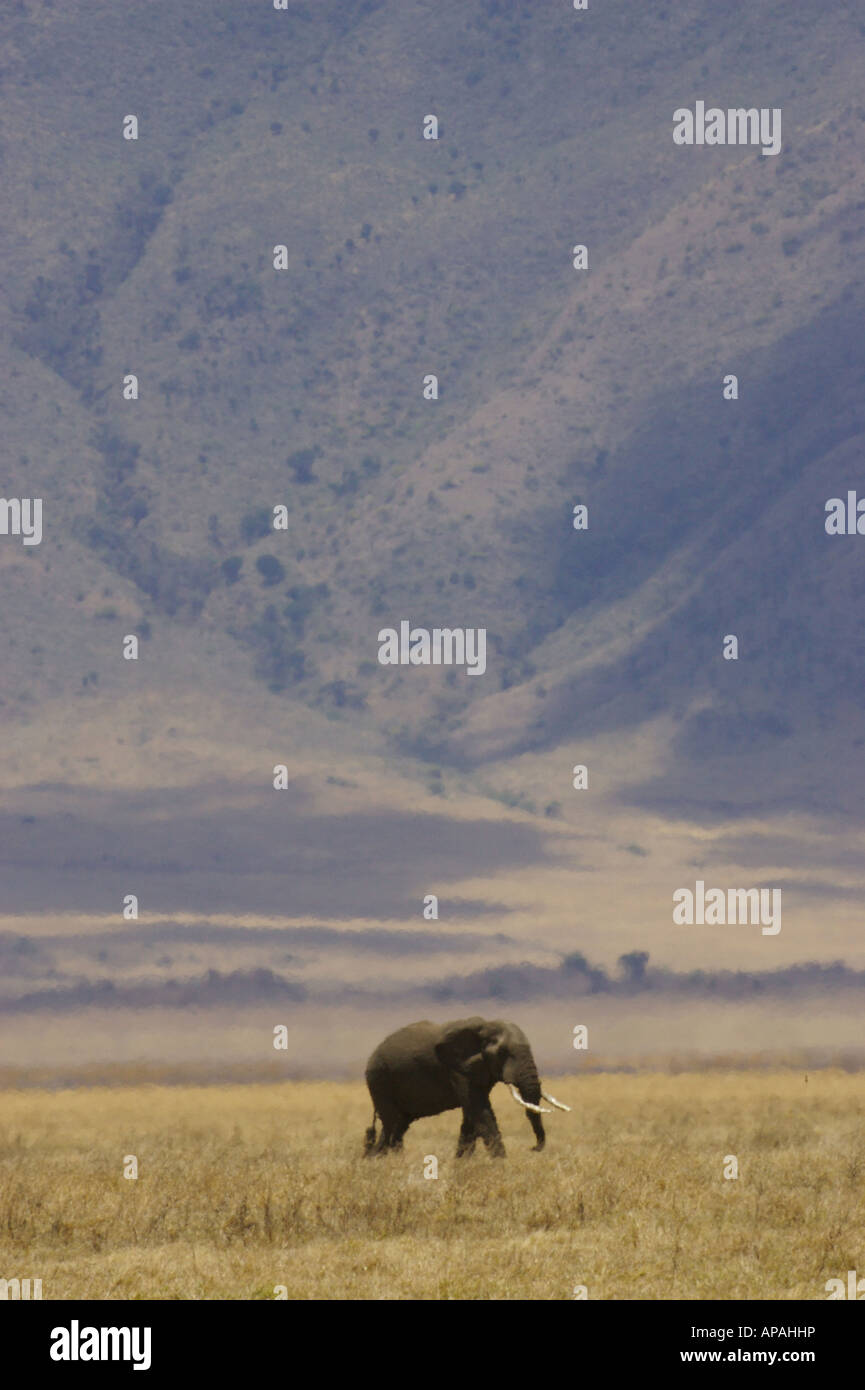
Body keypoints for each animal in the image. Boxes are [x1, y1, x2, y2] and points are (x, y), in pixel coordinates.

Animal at [363, 1016, 569, 1158]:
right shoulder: (458, 1069)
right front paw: (502, 1165)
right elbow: (479, 1110)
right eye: (503, 1053)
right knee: (390, 1122)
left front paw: (461, 1163)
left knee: (399, 1124)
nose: (533, 1148)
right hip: (379, 1078)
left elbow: (472, 1115)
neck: (485, 1026)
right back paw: (379, 1160)